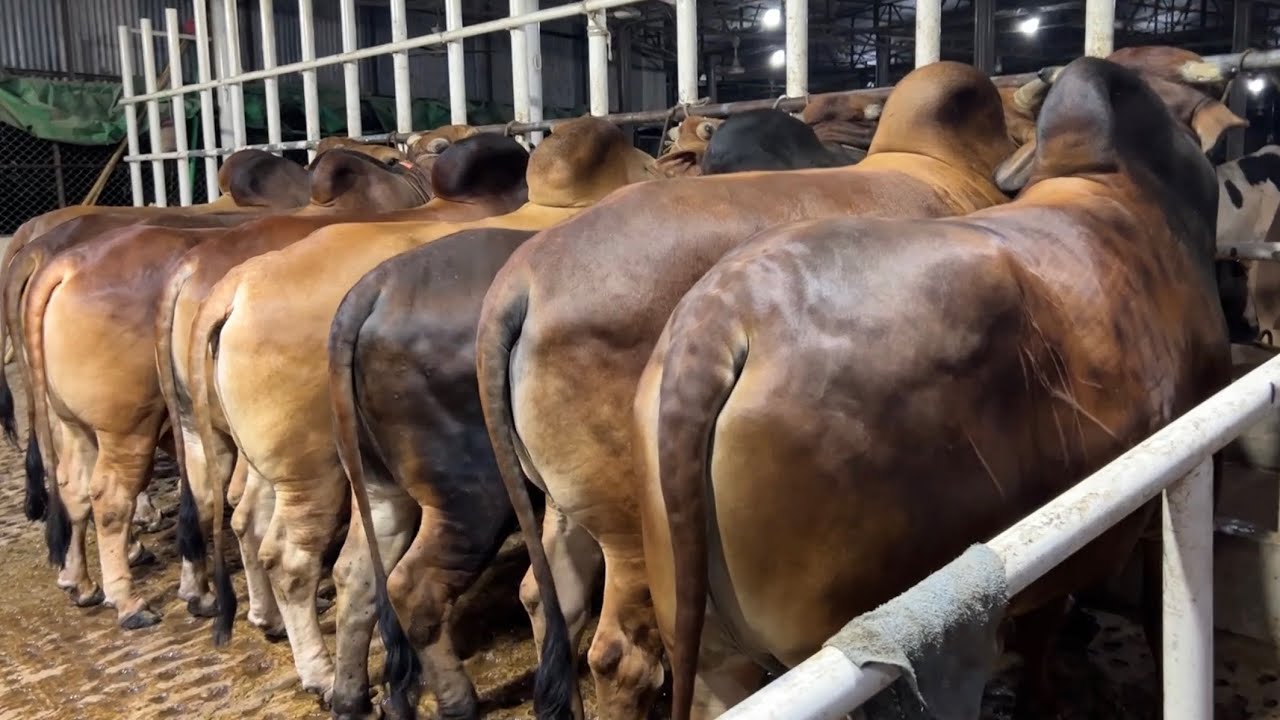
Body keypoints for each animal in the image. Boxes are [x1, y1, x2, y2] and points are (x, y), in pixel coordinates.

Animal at [160, 129, 529, 623]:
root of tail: (230, 288)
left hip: (217, 435)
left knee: (226, 505)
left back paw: (239, 606)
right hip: (309, 470)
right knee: (288, 555)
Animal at [474, 61, 1030, 720]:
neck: (951, 172)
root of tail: (523, 277)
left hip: (564, 501)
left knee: (548, 597)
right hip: (633, 524)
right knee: (619, 654)